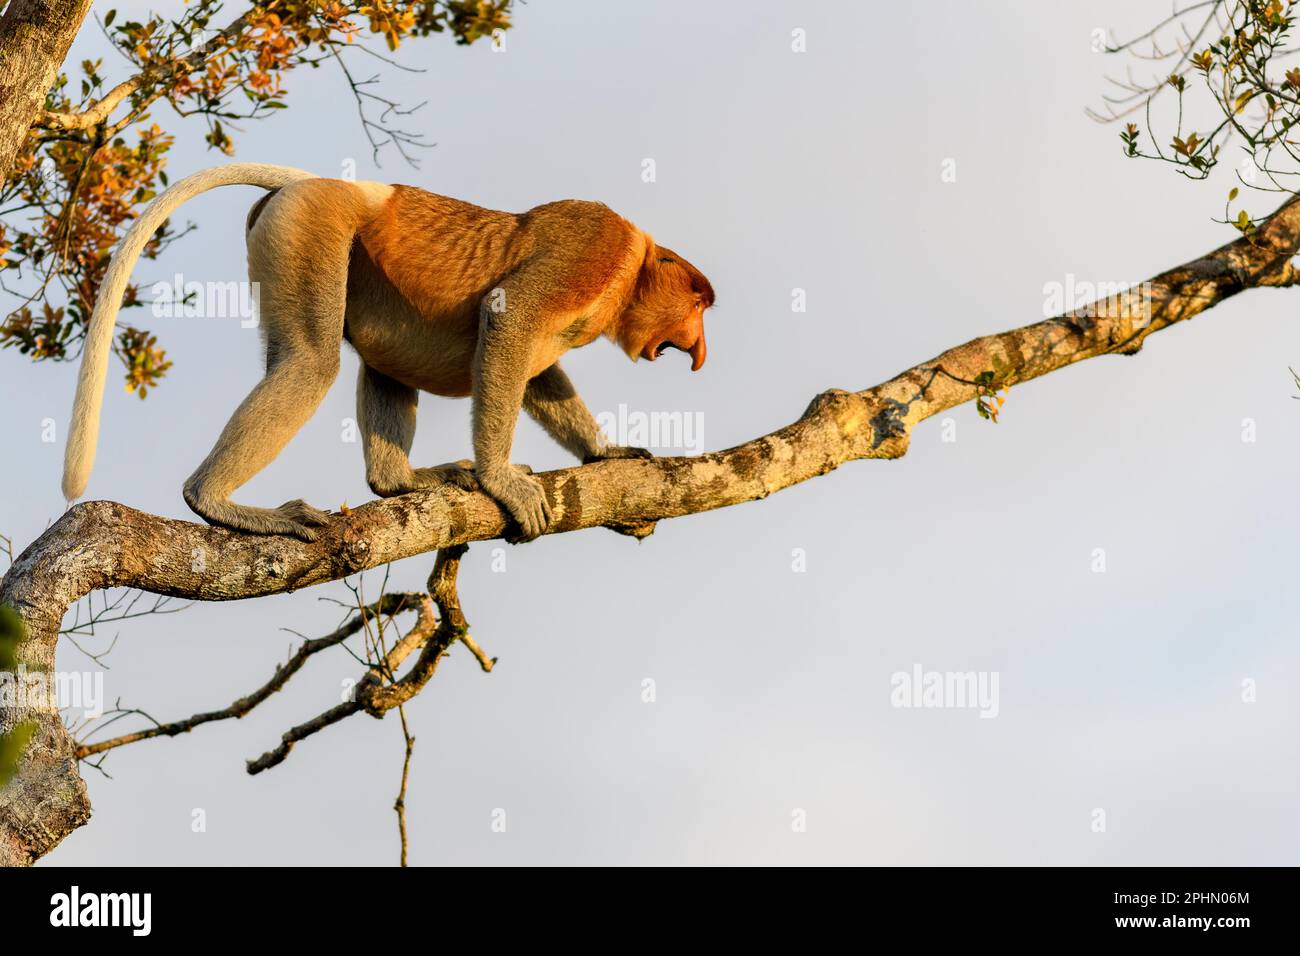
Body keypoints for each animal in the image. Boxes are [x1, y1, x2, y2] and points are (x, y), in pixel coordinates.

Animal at [61, 163, 715, 543]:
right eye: (698, 301)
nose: (700, 350)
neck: (633, 268)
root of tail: (344, 187)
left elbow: (539, 371)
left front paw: (605, 452)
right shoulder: (596, 248)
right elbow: (510, 319)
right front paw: (502, 480)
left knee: (381, 359)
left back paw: (402, 482)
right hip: (311, 227)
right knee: (311, 361)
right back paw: (215, 502)